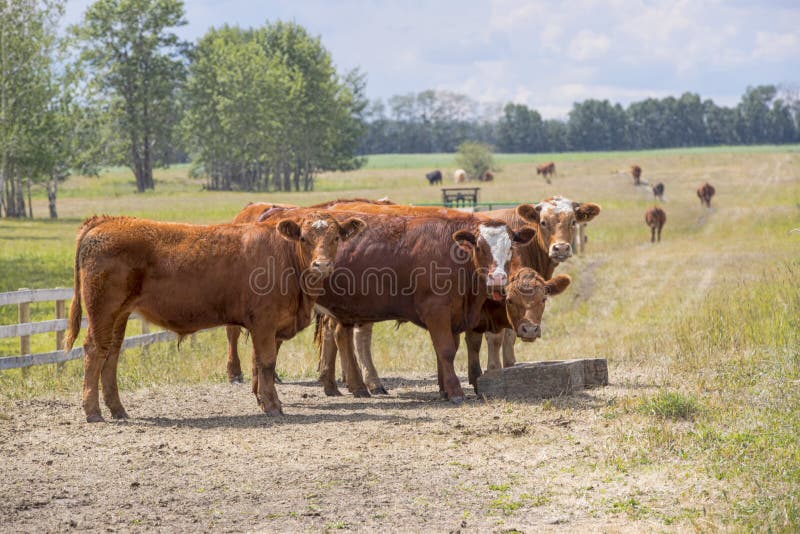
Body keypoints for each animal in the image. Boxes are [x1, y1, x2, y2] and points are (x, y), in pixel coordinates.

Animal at [64, 212, 366, 422]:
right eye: (304, 238)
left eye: (336, 238)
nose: (322, 265)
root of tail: (106, 221)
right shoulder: (265, 322)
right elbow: (267, 363)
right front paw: (273, 406)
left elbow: (259, 363)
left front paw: (262, 401)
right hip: (103, 310)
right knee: (95, 351)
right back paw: (92, 411)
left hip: (120, 314)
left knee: (111, 354)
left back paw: (118, 409)